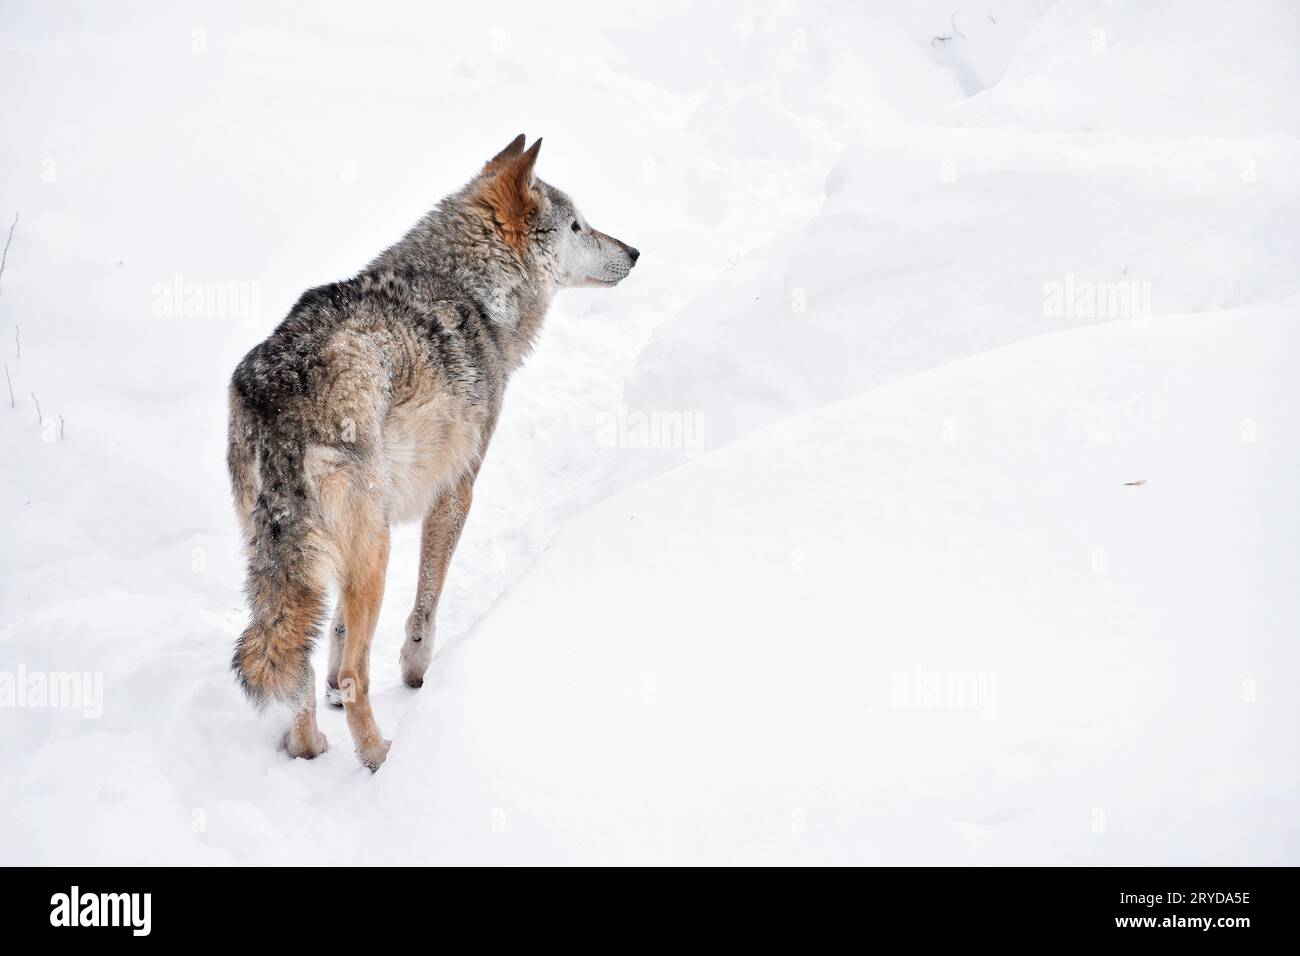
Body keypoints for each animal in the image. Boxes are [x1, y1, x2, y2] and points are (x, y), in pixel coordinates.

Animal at [227, 136, 637, 770]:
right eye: (578, 226)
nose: (636, 252)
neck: (472, 287)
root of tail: (280, 389)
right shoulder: (457, 490)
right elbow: (425, 607)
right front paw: (417, 672)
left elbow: (336, 634)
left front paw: (333, 701)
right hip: (375, 550)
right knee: (355, 673)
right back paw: (378, 757)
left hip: (310, 554)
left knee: (299, 664)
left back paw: (308, 746)